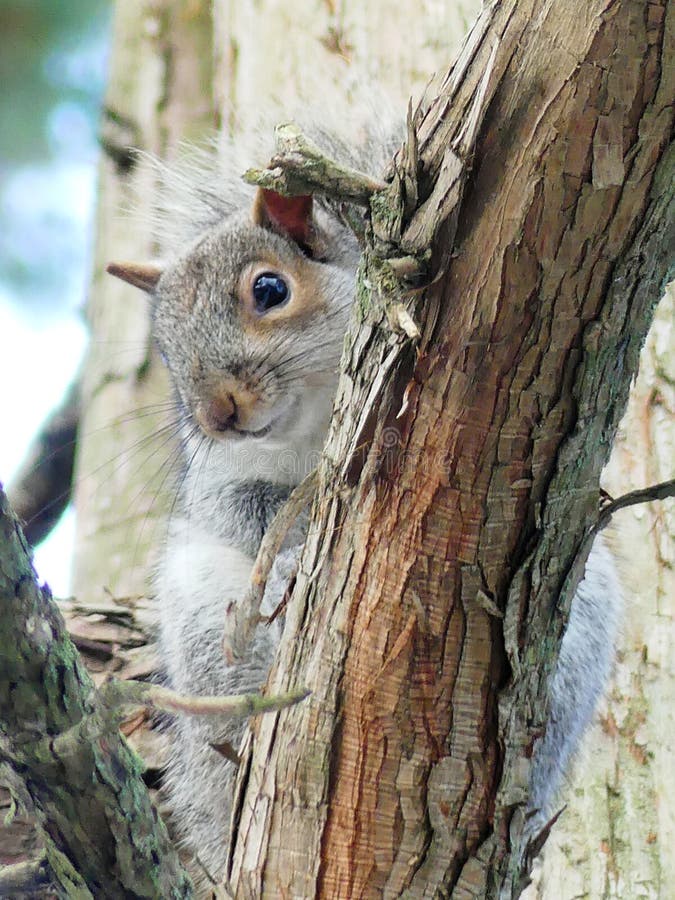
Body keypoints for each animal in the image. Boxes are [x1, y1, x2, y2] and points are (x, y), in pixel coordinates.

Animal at [107, 109, 622, 889]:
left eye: (268, 290)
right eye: (165, 349)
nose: (216, 413)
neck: (311, 415)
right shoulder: (219, 479)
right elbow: (245, 512)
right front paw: (289, 559)